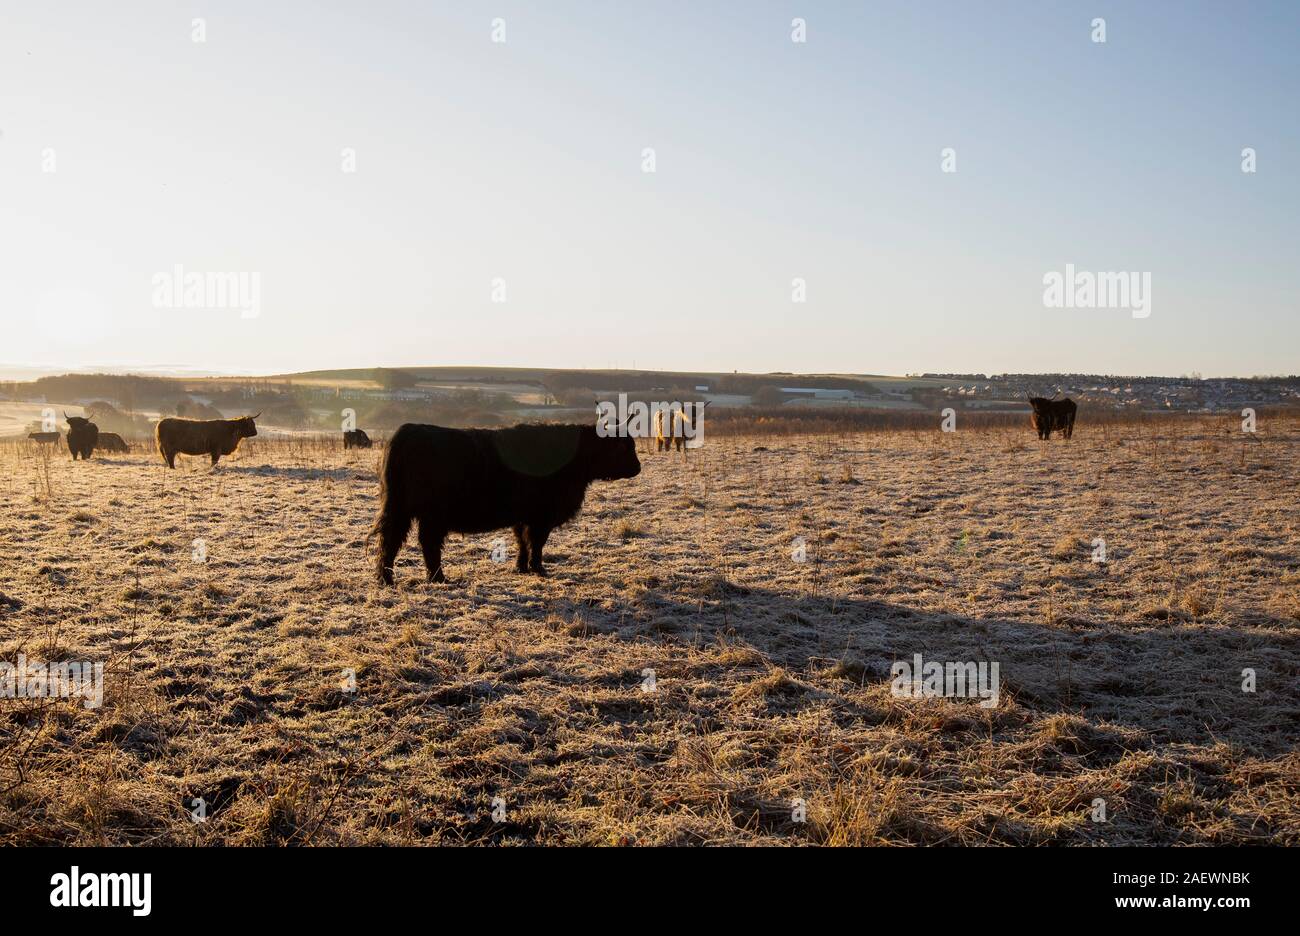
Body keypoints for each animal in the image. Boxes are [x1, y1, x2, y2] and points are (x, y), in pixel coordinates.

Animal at [370, 422, 641, 585]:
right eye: (625, 447)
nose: (638, 468)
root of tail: (410, 430)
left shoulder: (523, 515)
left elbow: (522, 540)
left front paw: (521, 567)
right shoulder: (541, 516)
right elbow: (536, 543)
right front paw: (538, 569)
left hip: (403, 509)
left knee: (393, 540)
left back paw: (388, 578)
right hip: (431, 514)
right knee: (425, 543)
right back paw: (437, 577)